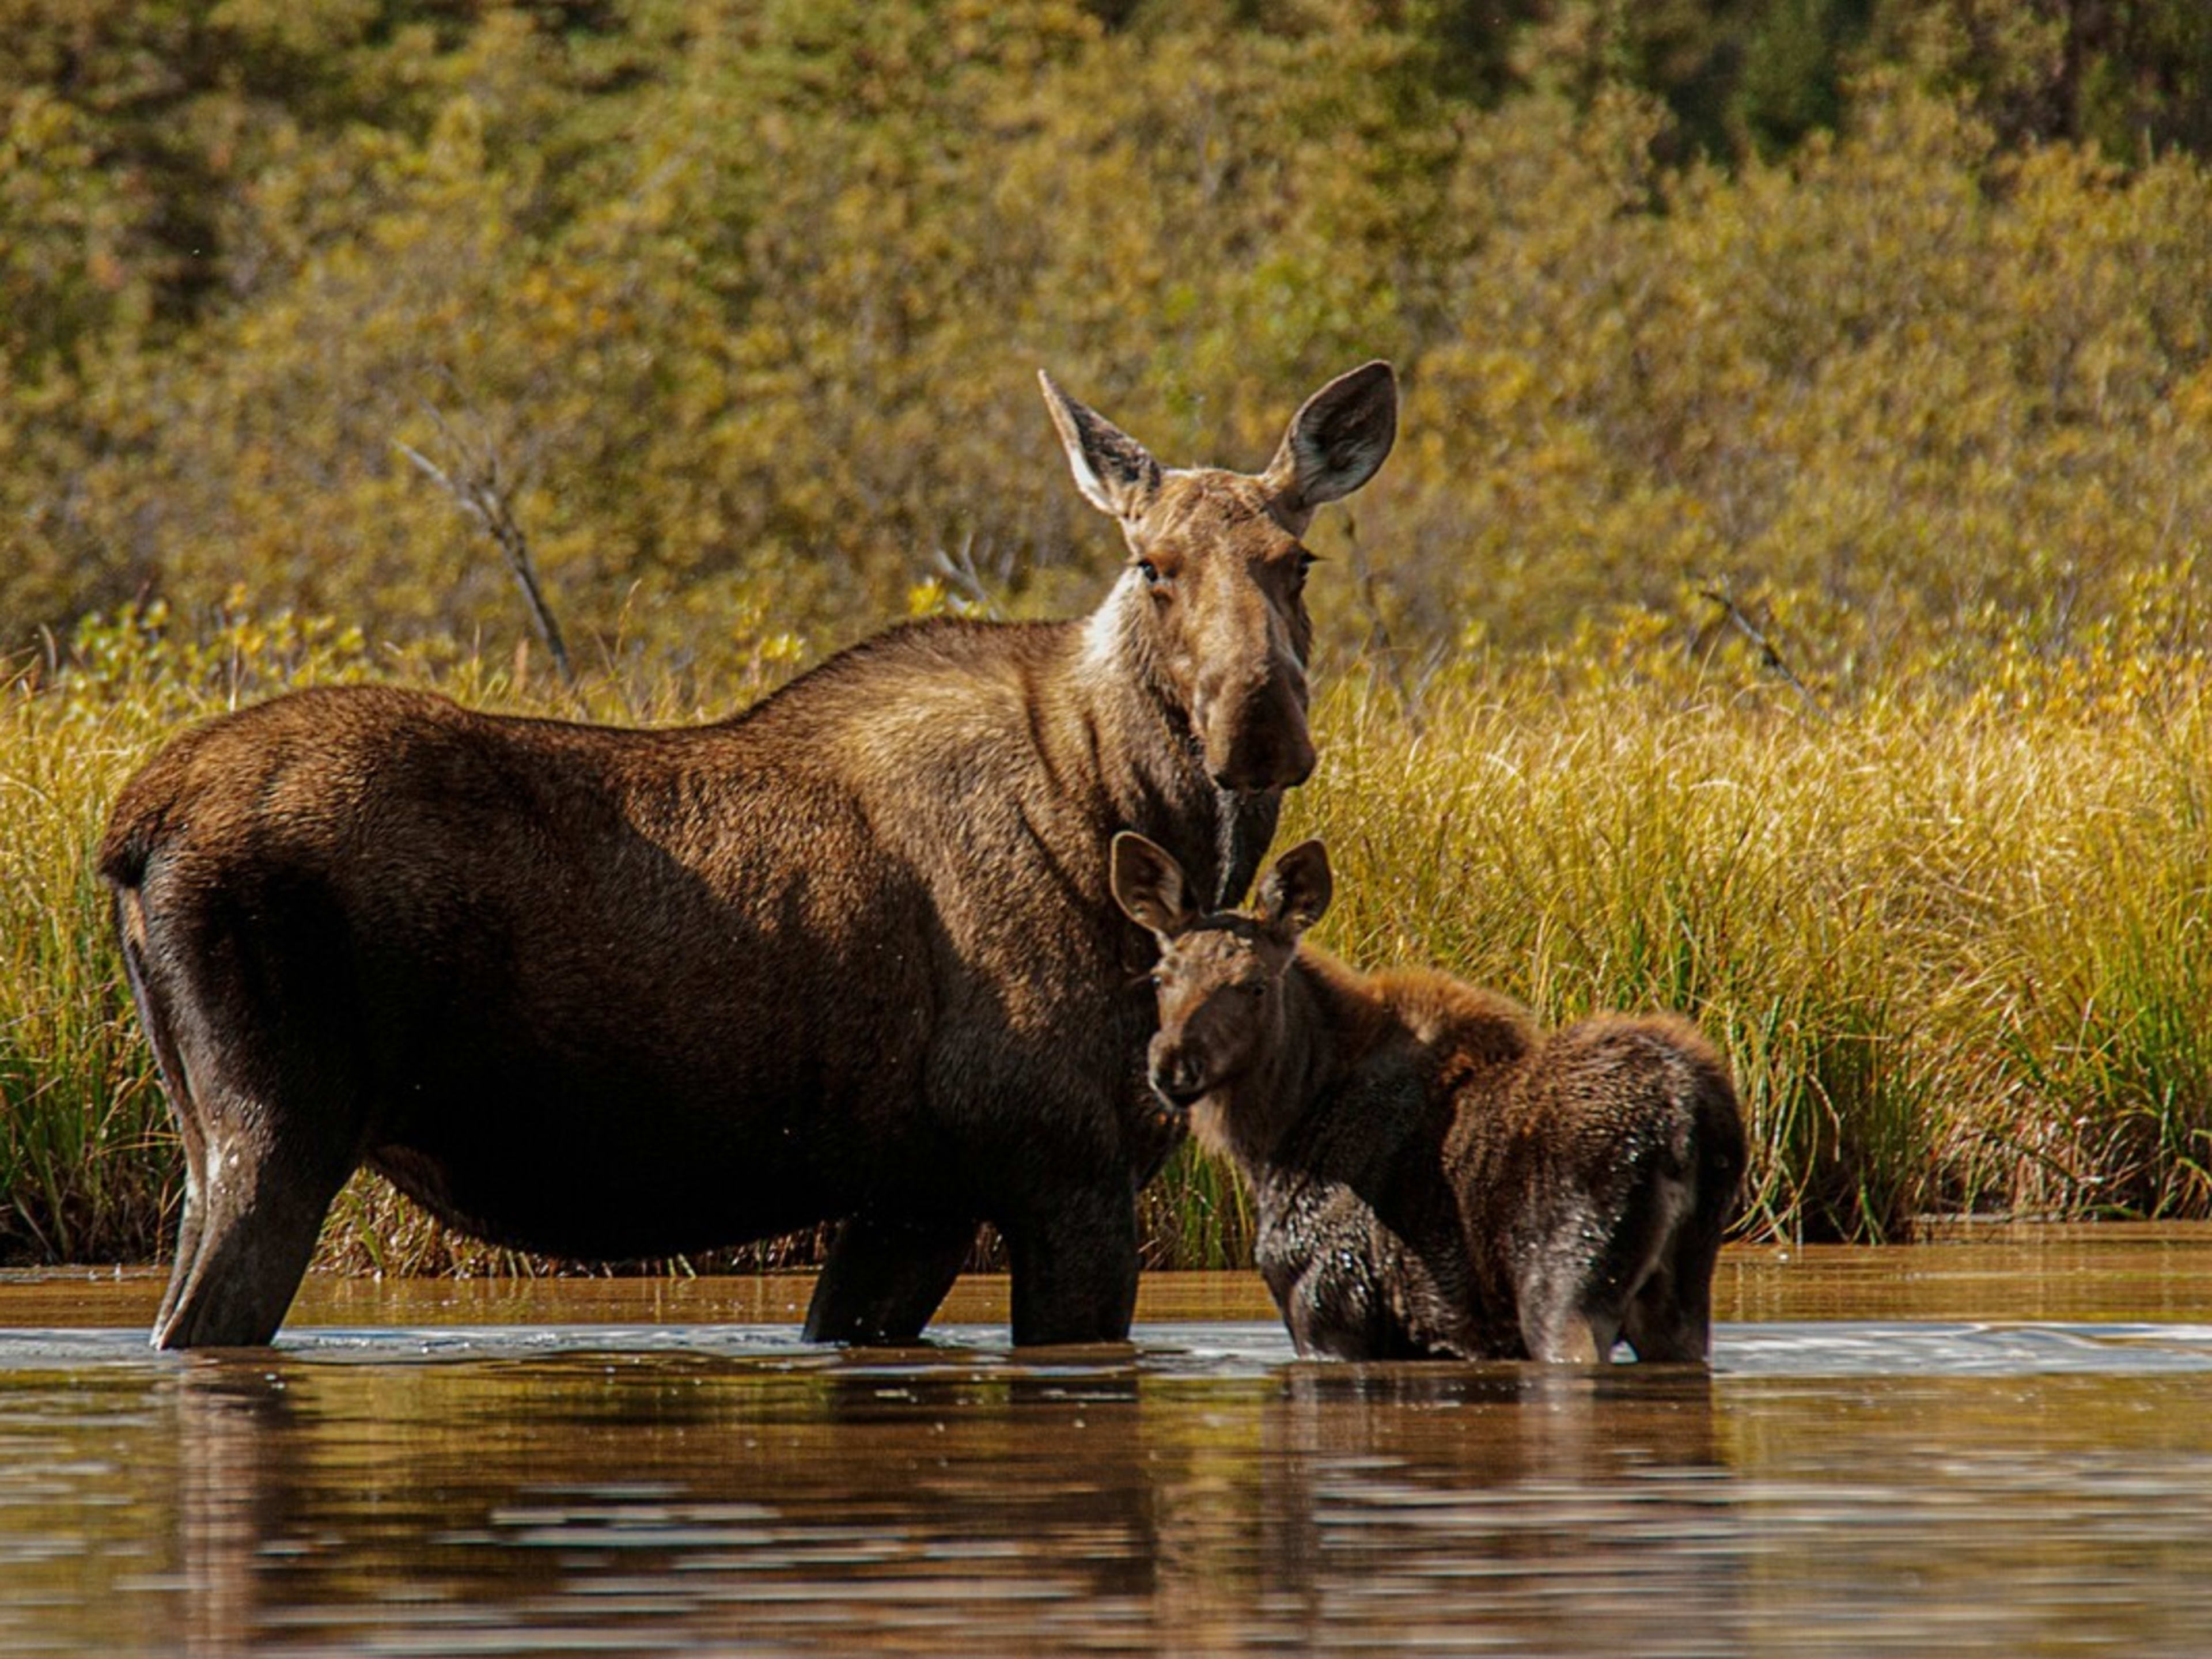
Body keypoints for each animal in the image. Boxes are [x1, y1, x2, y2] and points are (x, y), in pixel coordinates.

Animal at [100, 362, 1397, 1349]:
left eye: (1298, 562)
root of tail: (134, 830)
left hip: (201, 1134)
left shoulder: (917, 1195)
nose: (1258, 721)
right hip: (279, 1125)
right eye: (1152, 566)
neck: (1137, 821)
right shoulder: (1067, 1166)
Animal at [1110, 831, 1745, 1363]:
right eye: (1161, 977)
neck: (1277, 1138)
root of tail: (1684, 1119)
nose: (1172, 1065)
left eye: (1255, 985)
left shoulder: (1328, 1309)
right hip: (1682, 1296)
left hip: (1566, 1286)